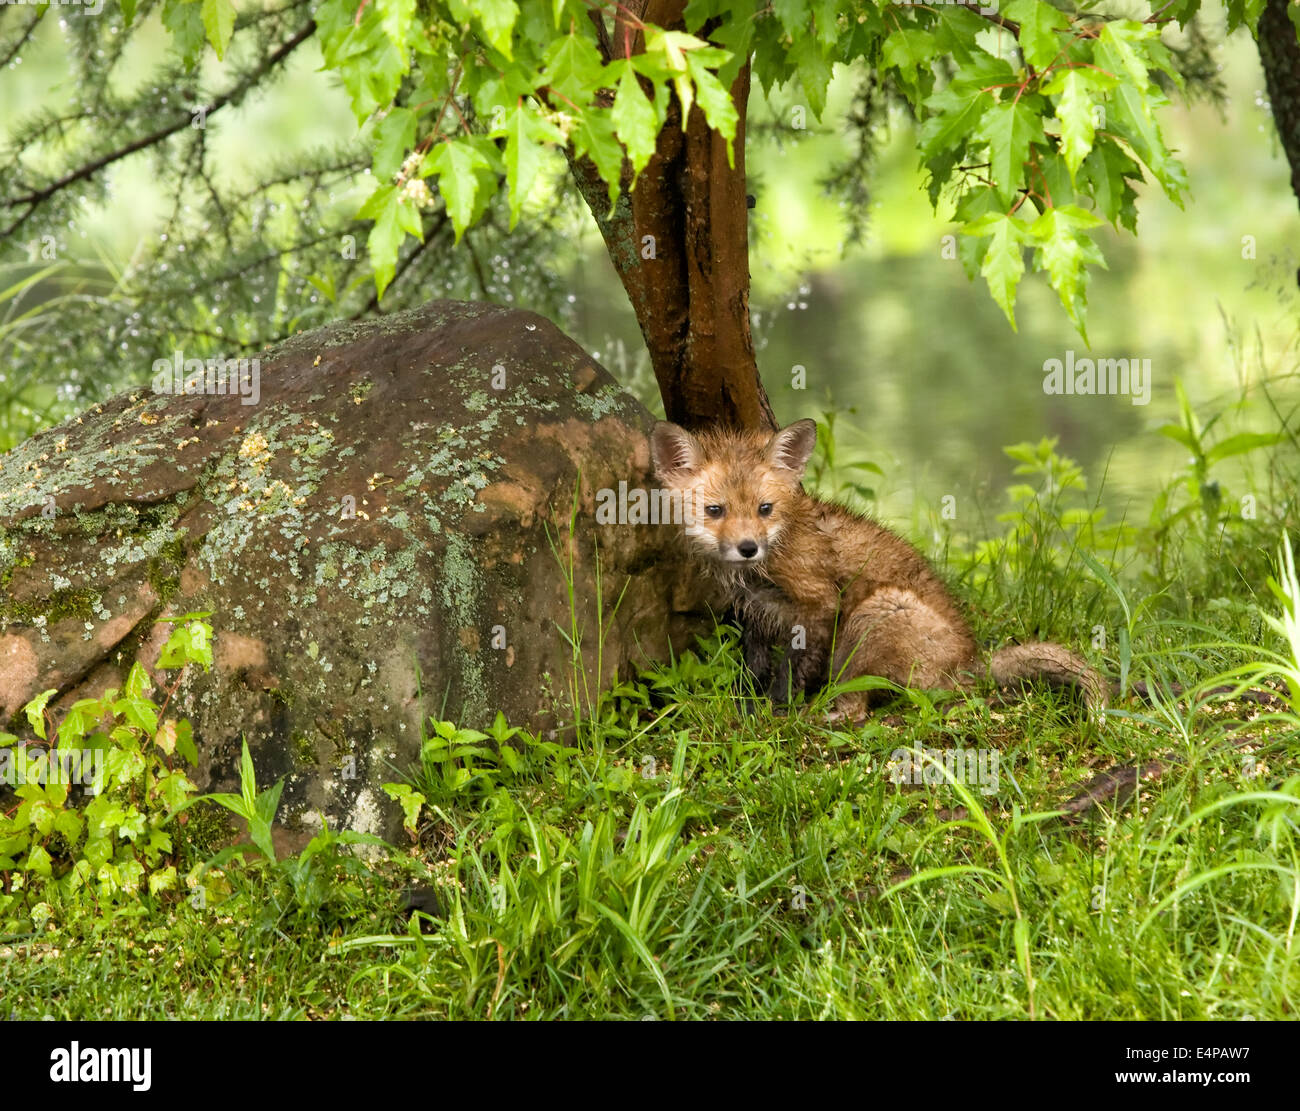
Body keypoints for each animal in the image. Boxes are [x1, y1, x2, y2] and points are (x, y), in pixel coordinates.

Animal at [649, 418, 1106, 721]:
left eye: (765, 509)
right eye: (715, 510)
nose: (748, 548)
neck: (765, 568)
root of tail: (972, 662)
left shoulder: (819, 607)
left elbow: (791, 673)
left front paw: (778, 710)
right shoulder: (756, 614)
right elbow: (754, 669)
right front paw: (746, 706)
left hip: (875, 615)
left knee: (859, 707)